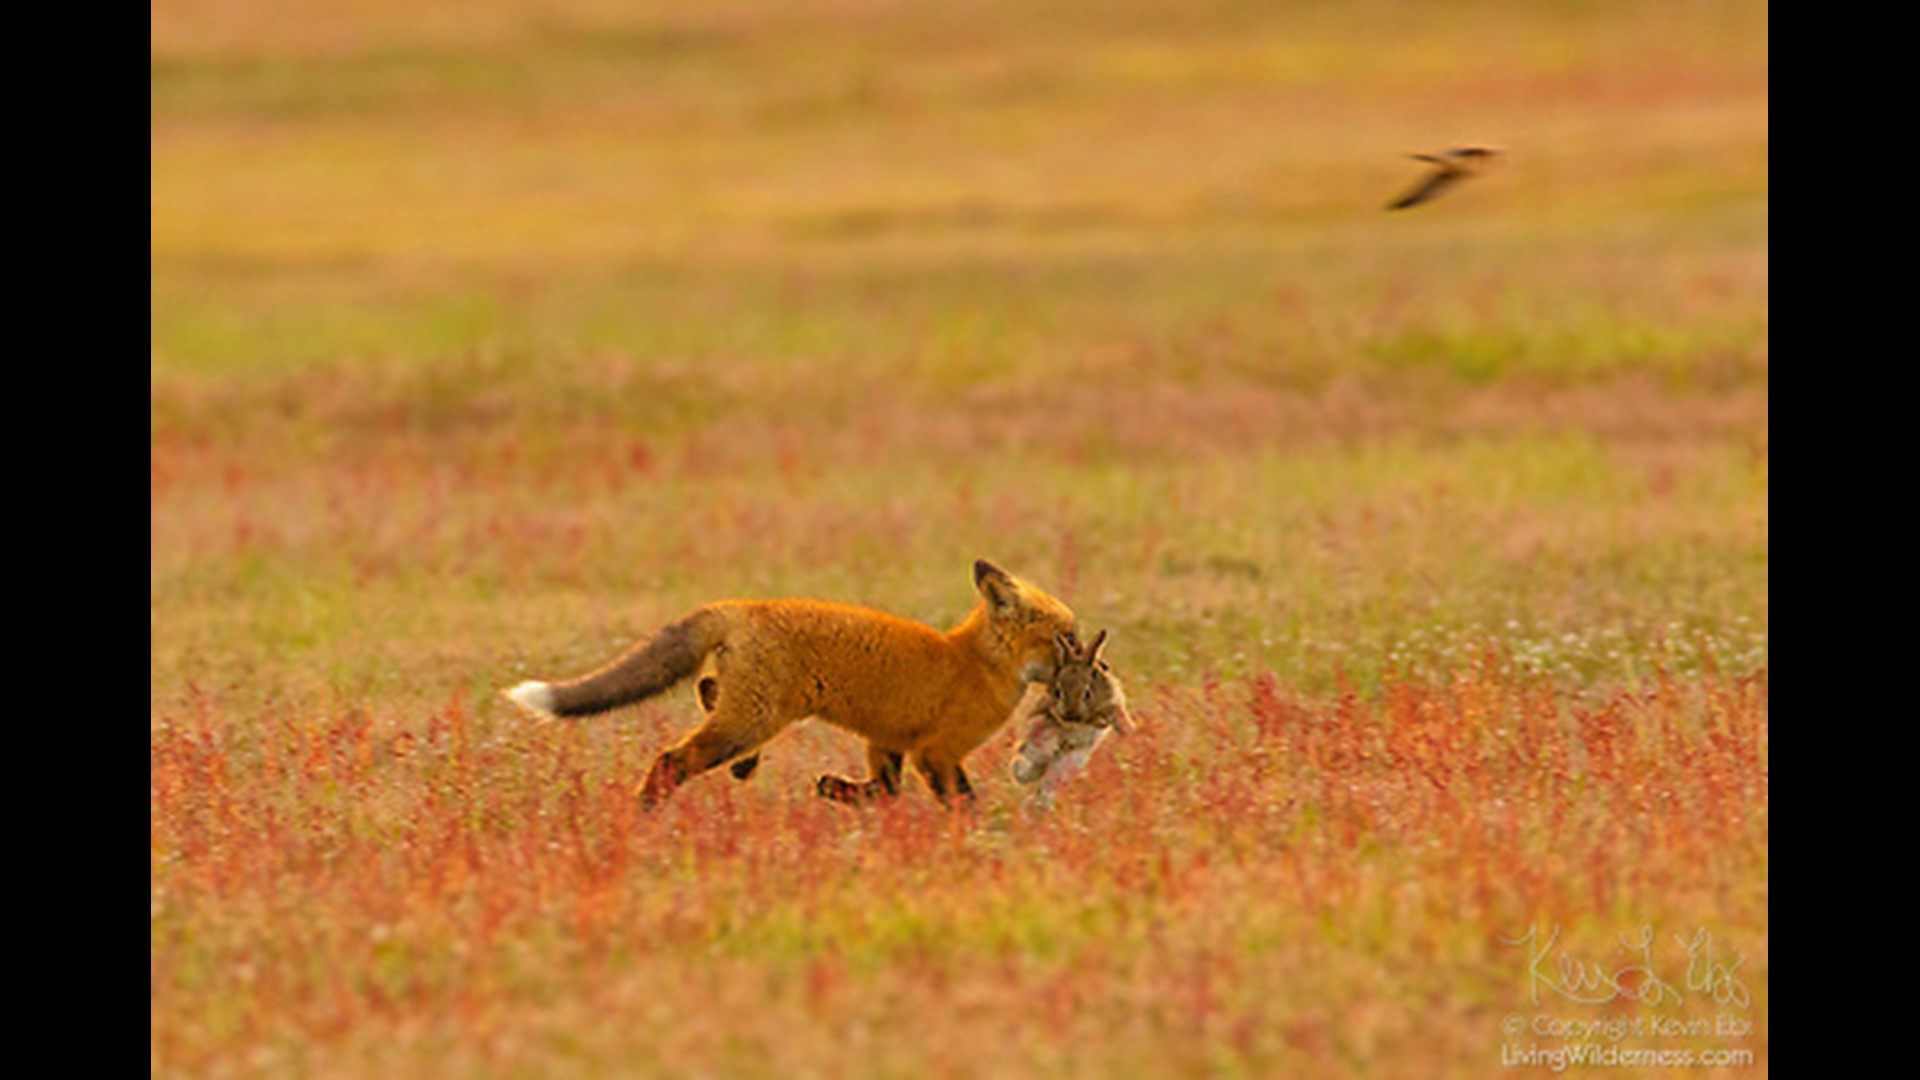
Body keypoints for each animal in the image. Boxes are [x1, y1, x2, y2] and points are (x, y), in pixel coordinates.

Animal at [502, 559, 1079, 808]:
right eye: (1067, 637)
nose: (1090, 659)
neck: (975, 661)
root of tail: (746, 606)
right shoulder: (936, 752)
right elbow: (960, 801)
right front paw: (984, 840)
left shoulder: (889, 740)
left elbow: (884, 790)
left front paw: (840, 793)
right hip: (752, 718)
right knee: (673, 757)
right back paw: (646, 808)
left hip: (752, 709)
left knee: (707, 689)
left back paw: (743, 766)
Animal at [1009, 628, 1134, 807]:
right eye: (1058, 692)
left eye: (1087, 693)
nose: (1070, 714)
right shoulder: (1046, 719)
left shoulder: (1111, 705)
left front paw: (1128, 732)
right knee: (1030, 763)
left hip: (1072, 761)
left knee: (1049, 782)